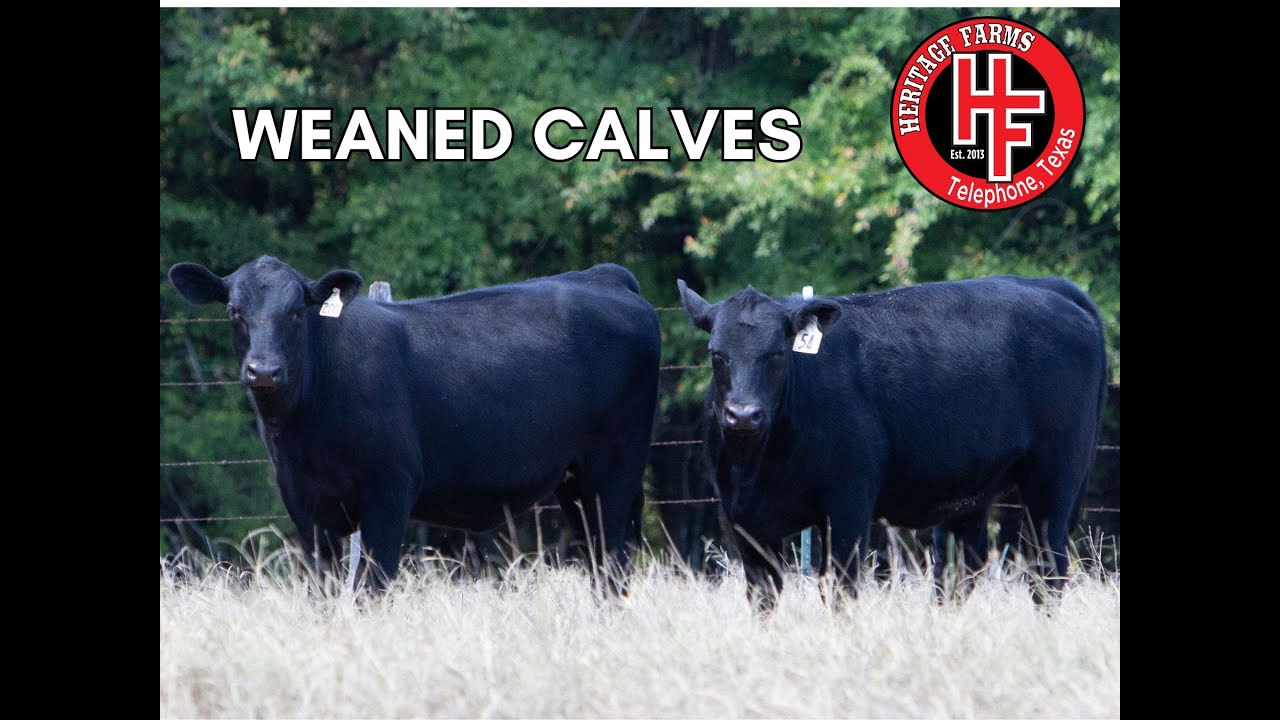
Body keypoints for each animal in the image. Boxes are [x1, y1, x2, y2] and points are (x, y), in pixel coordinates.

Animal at [168, 256, 660, 592]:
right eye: (234, 310)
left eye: (296, 311)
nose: (264, 371)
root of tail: (603, 276)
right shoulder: (304, 501)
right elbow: (322, 589)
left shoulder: (390, 487)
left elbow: (370, 586)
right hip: (574, 480)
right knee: (598, 559)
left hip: (616, 466)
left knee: (614, 560)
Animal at [677, 276, 1108, 610]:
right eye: (717, 354)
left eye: (778, 353)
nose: (743, 414)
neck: (759, 465)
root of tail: (1047, 287)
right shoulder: (743, 517)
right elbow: (764, 596)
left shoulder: (848, 502)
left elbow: (842, 589)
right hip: (973, 488)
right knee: (960, 570)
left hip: (1055, 480)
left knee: (1048, 571)